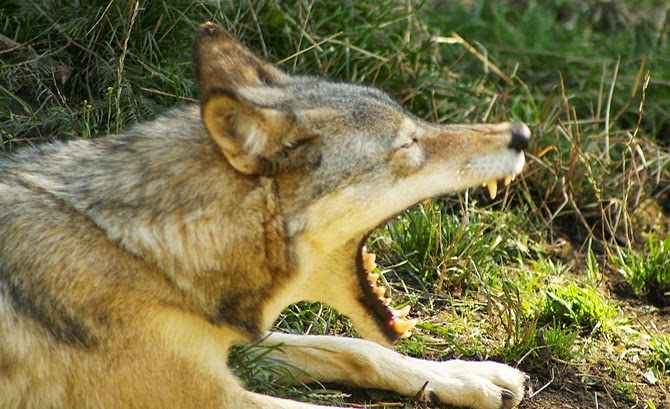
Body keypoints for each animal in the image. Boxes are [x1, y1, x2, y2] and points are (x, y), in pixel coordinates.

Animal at [0, 22, 530, 409]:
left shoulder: (231, 341)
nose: (521, 134)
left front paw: (468, 375)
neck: (145, 253)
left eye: (419, 123)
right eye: (408, 144)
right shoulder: (211, 397)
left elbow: (358, 348)